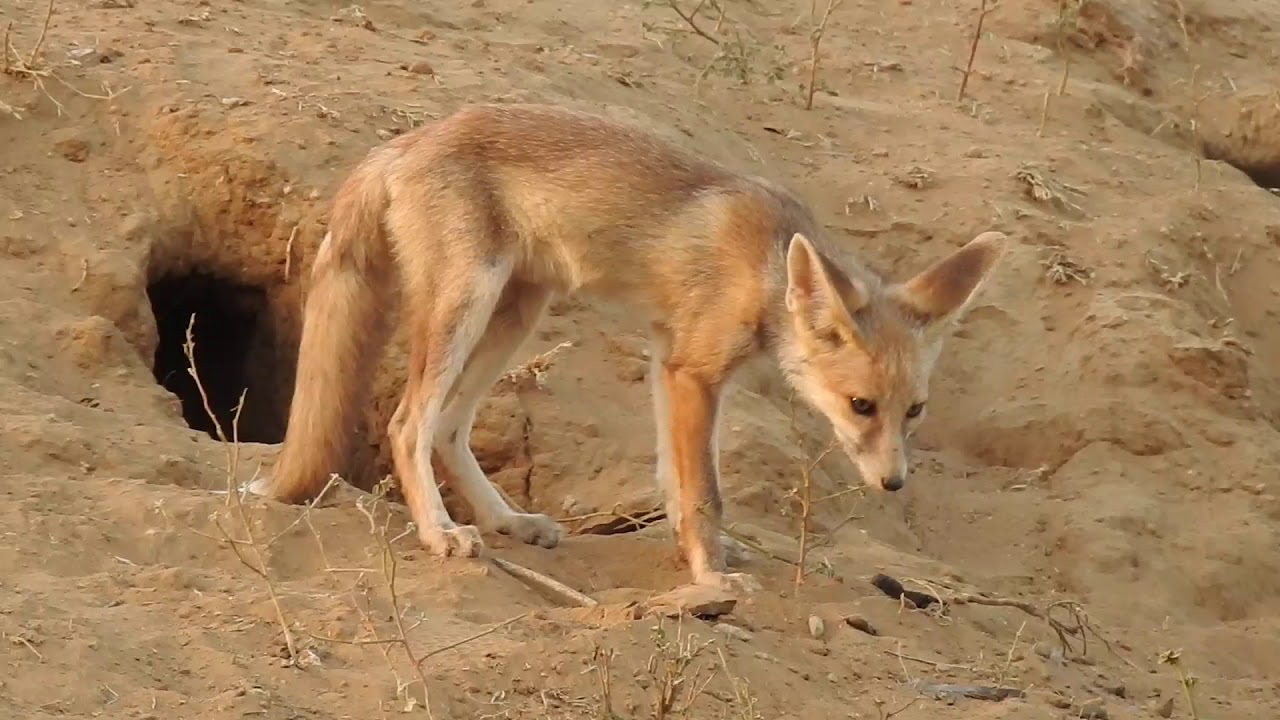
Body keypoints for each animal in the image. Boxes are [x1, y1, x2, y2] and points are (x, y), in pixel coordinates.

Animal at [247, 102, 1007, 595]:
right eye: (860, 405)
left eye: (914, 411)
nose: (894, 483)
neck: (764, 267)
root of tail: (407, 140)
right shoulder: (693, 370)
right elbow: (704, 492)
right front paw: (710, 573)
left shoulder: (666, 358)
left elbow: (676, 481)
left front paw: (694, 555)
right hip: (467, 307)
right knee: (410, 423)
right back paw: (441, 533)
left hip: (515, 314)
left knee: (449, 428)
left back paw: (506, 521)